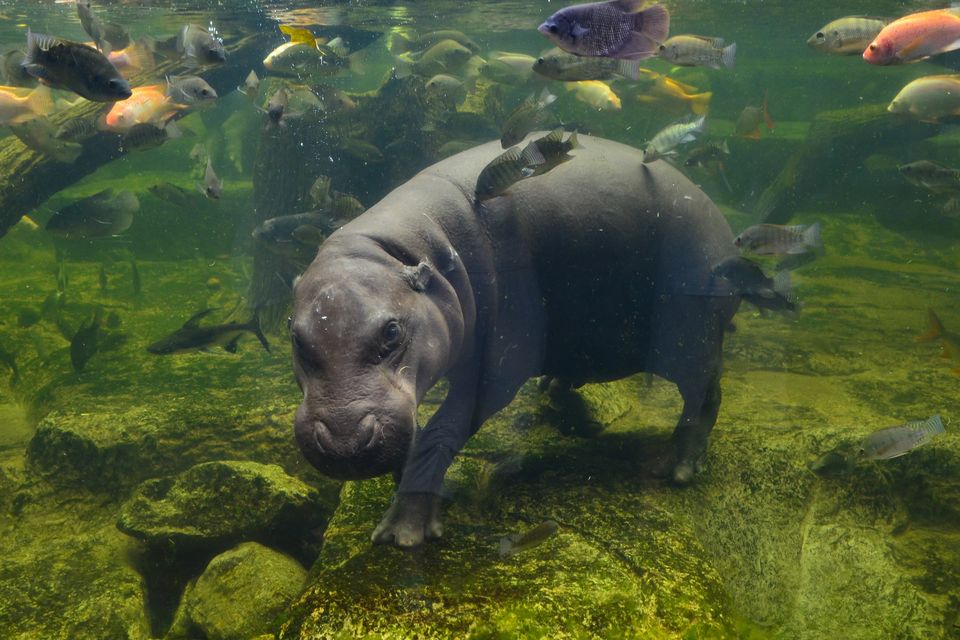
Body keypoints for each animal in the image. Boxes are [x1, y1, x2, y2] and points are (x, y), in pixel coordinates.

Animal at [290, 134, 741, 548]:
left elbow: (442, 431)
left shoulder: (498, 366)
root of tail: (726, 231)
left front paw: (403, 532)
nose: (345, 442)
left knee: (705, 393)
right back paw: (556, 388)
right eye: (295, 336)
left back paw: (675, 468)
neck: (409, 248)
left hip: (690, 333)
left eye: (392, 331)